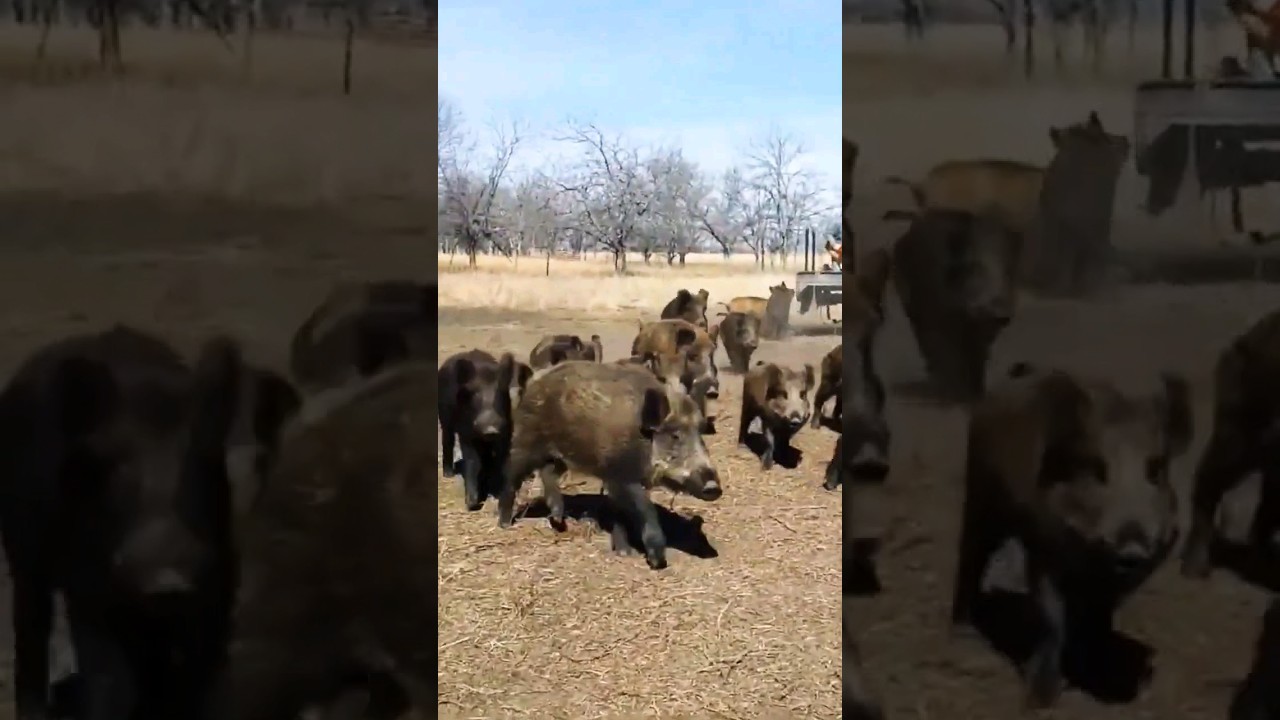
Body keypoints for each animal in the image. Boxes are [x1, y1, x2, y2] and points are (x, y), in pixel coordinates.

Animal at [0, 326, 283, 720]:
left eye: (201, 459)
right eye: (112, 465)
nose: (167, 578)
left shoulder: (220, 583)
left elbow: (208, 679)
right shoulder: (87, 584)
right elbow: (109, 679)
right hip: (22, 556)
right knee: (31, 624)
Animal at [437, 350, 533, 511]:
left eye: (500, 393)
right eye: (474, 393)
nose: (490, 428)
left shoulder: (506, 431)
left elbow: (502, 461)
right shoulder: (466, 432)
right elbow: (472, 462)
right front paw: (471, 504)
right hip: (444, 418)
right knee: (447, 440)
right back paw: (448, 474)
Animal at [498, 361, 722, 570]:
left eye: (700, 433)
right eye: (675, 435)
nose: (714, 488)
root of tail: (534, 380)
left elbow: (619, 514)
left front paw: (625, 553)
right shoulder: (619, 477)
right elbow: (646, 509)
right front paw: (657, 562)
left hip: (562, 456)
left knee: (548, 473)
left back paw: (559, 522)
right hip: (525, 441)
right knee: (511, 475)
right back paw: (504, 524)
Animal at [890, 208, 1021, 402]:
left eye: (1008, 272)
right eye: (972, 267)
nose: (999, 310)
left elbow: (976, 354)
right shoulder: (936, 313)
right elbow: (942, 347)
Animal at [950, 363, 1192, 709]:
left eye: (1156, 471)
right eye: (1095, 469)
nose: (1132, 546)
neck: (1090, 564)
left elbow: (1099, 620)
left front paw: (1101, 676)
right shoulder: (1042, 550)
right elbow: (1054, 619)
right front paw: (1038, 702)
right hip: (981, 493)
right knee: (971, 555)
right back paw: (963, 631)